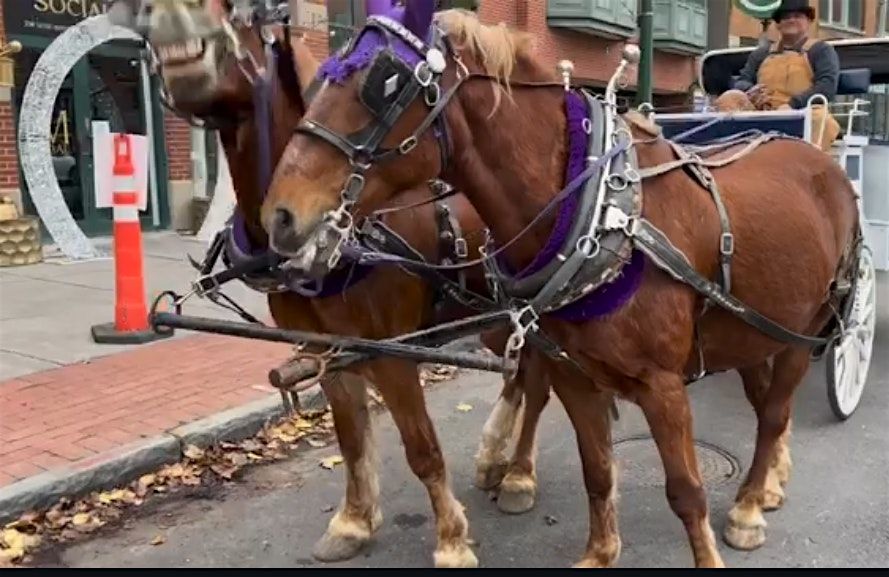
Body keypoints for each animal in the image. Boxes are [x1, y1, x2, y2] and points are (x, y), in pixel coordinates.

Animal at [109, 0, 555, 566]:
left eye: (239, 13)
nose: (167, 12)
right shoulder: (326, 349)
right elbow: (350, 439)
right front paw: (353, 522)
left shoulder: (390, 353)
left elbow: (422, 450)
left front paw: (452, 540)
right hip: (496, 319)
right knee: (518, 377)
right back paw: (493, 458)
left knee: (537, 383)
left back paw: (519, 476)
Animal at [261, 6, 860, 568]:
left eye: (385, 83)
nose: (279, 217)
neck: (598, 215)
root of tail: (818, 161)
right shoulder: (575, 375)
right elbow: (598, 471)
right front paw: (600, 552)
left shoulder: (663, 386)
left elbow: (686, 490)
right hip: (754, 328)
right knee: (763, 404)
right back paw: (768, 485)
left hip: (808, 329)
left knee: (774, 414)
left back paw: (750, 506)